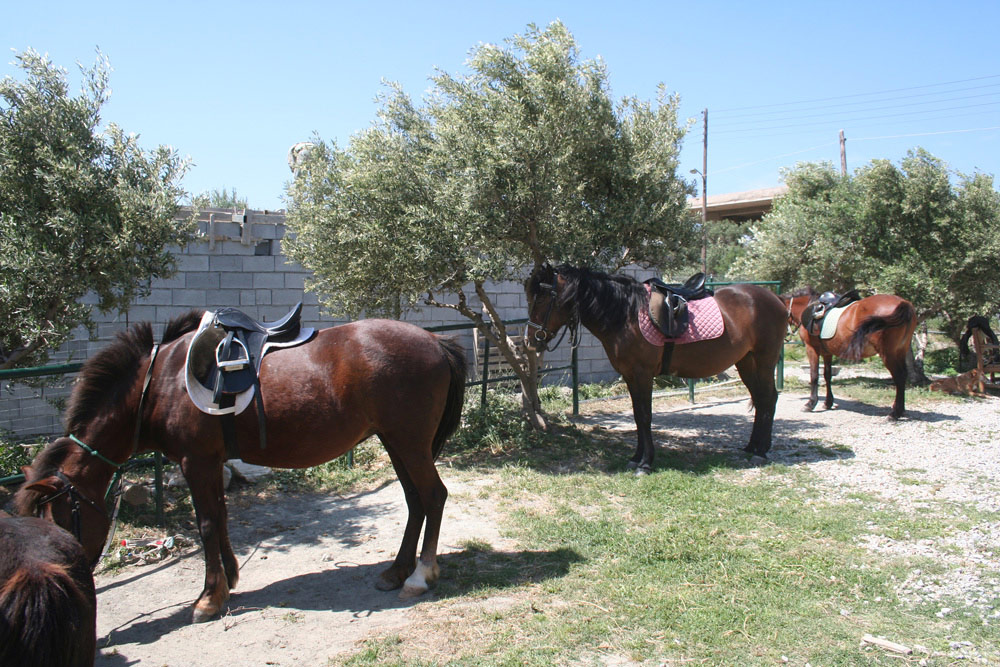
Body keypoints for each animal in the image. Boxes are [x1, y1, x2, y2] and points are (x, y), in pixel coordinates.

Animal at [14, 311, 467, 623]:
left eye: (58, 518)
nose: (70, 572)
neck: (157, 386)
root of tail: (435, 341)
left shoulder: (195, 461)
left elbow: (206, 525)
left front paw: (208, 599)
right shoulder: (211, 462)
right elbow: (221, 517)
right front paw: (228, 580)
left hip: (409, 442)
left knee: (433, 496)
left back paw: (420, 576)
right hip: (396, 442)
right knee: (414, 500)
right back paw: (396, 570)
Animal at [525, 264, 788, 471]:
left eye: (542, 298)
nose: (531, 340)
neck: (626, 315)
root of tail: (776, 299)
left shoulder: (643, 374)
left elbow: (645, 415)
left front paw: (645, 463)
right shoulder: (630, 376)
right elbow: (637, 415)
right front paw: (636, 457)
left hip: (764, 361)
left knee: (769, 399)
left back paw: (761, 452)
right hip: (746, 362)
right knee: (761, 399)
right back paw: (752, 447)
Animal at [780, 288, 916, 419]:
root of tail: (904, 304)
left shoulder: (811, 349)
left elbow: (814, 376)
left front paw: (810, 404)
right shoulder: (827, 353)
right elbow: (827, 375)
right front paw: (828, 402)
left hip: (888, 354)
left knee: (898, 377)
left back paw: (894, 413)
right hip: (900, 351)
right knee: (903, 376)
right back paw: (900, 410)